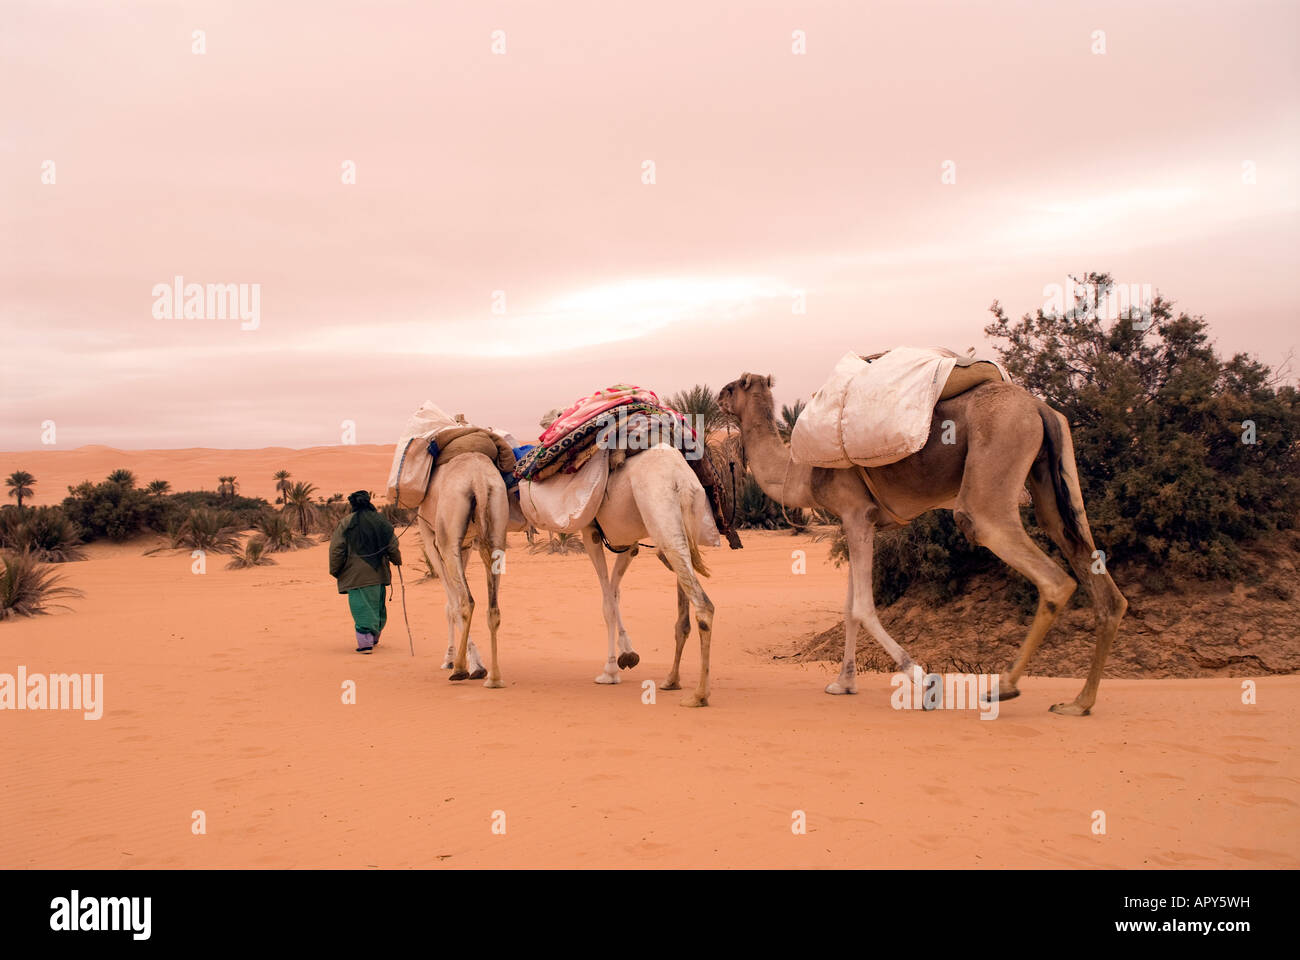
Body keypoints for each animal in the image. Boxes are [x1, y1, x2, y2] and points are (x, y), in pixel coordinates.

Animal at [414, 452, 508, 688]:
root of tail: (479, 480)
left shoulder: (430, 539)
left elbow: (451, 605)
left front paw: (454, 660)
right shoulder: (465, 546)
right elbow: (452, 603)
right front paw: (476, 664)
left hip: (447, 535)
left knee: (467, 601)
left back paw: (459, 668)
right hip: (497, 526)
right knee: (493, 607)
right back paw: (494, 678)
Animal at [717, 371, 1127, 716]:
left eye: (735, 385)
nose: (719, 395)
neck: (799, 471)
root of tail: (1040, 408)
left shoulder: (856, 513)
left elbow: (863, 607)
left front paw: (926, 682)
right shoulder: (858, 522)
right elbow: (850, 607)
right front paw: (843, 683)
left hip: (992, 478)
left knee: (1045, 572)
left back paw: (1004, 688)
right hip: (1052, 481)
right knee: (1091, 570)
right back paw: (1078, 702)